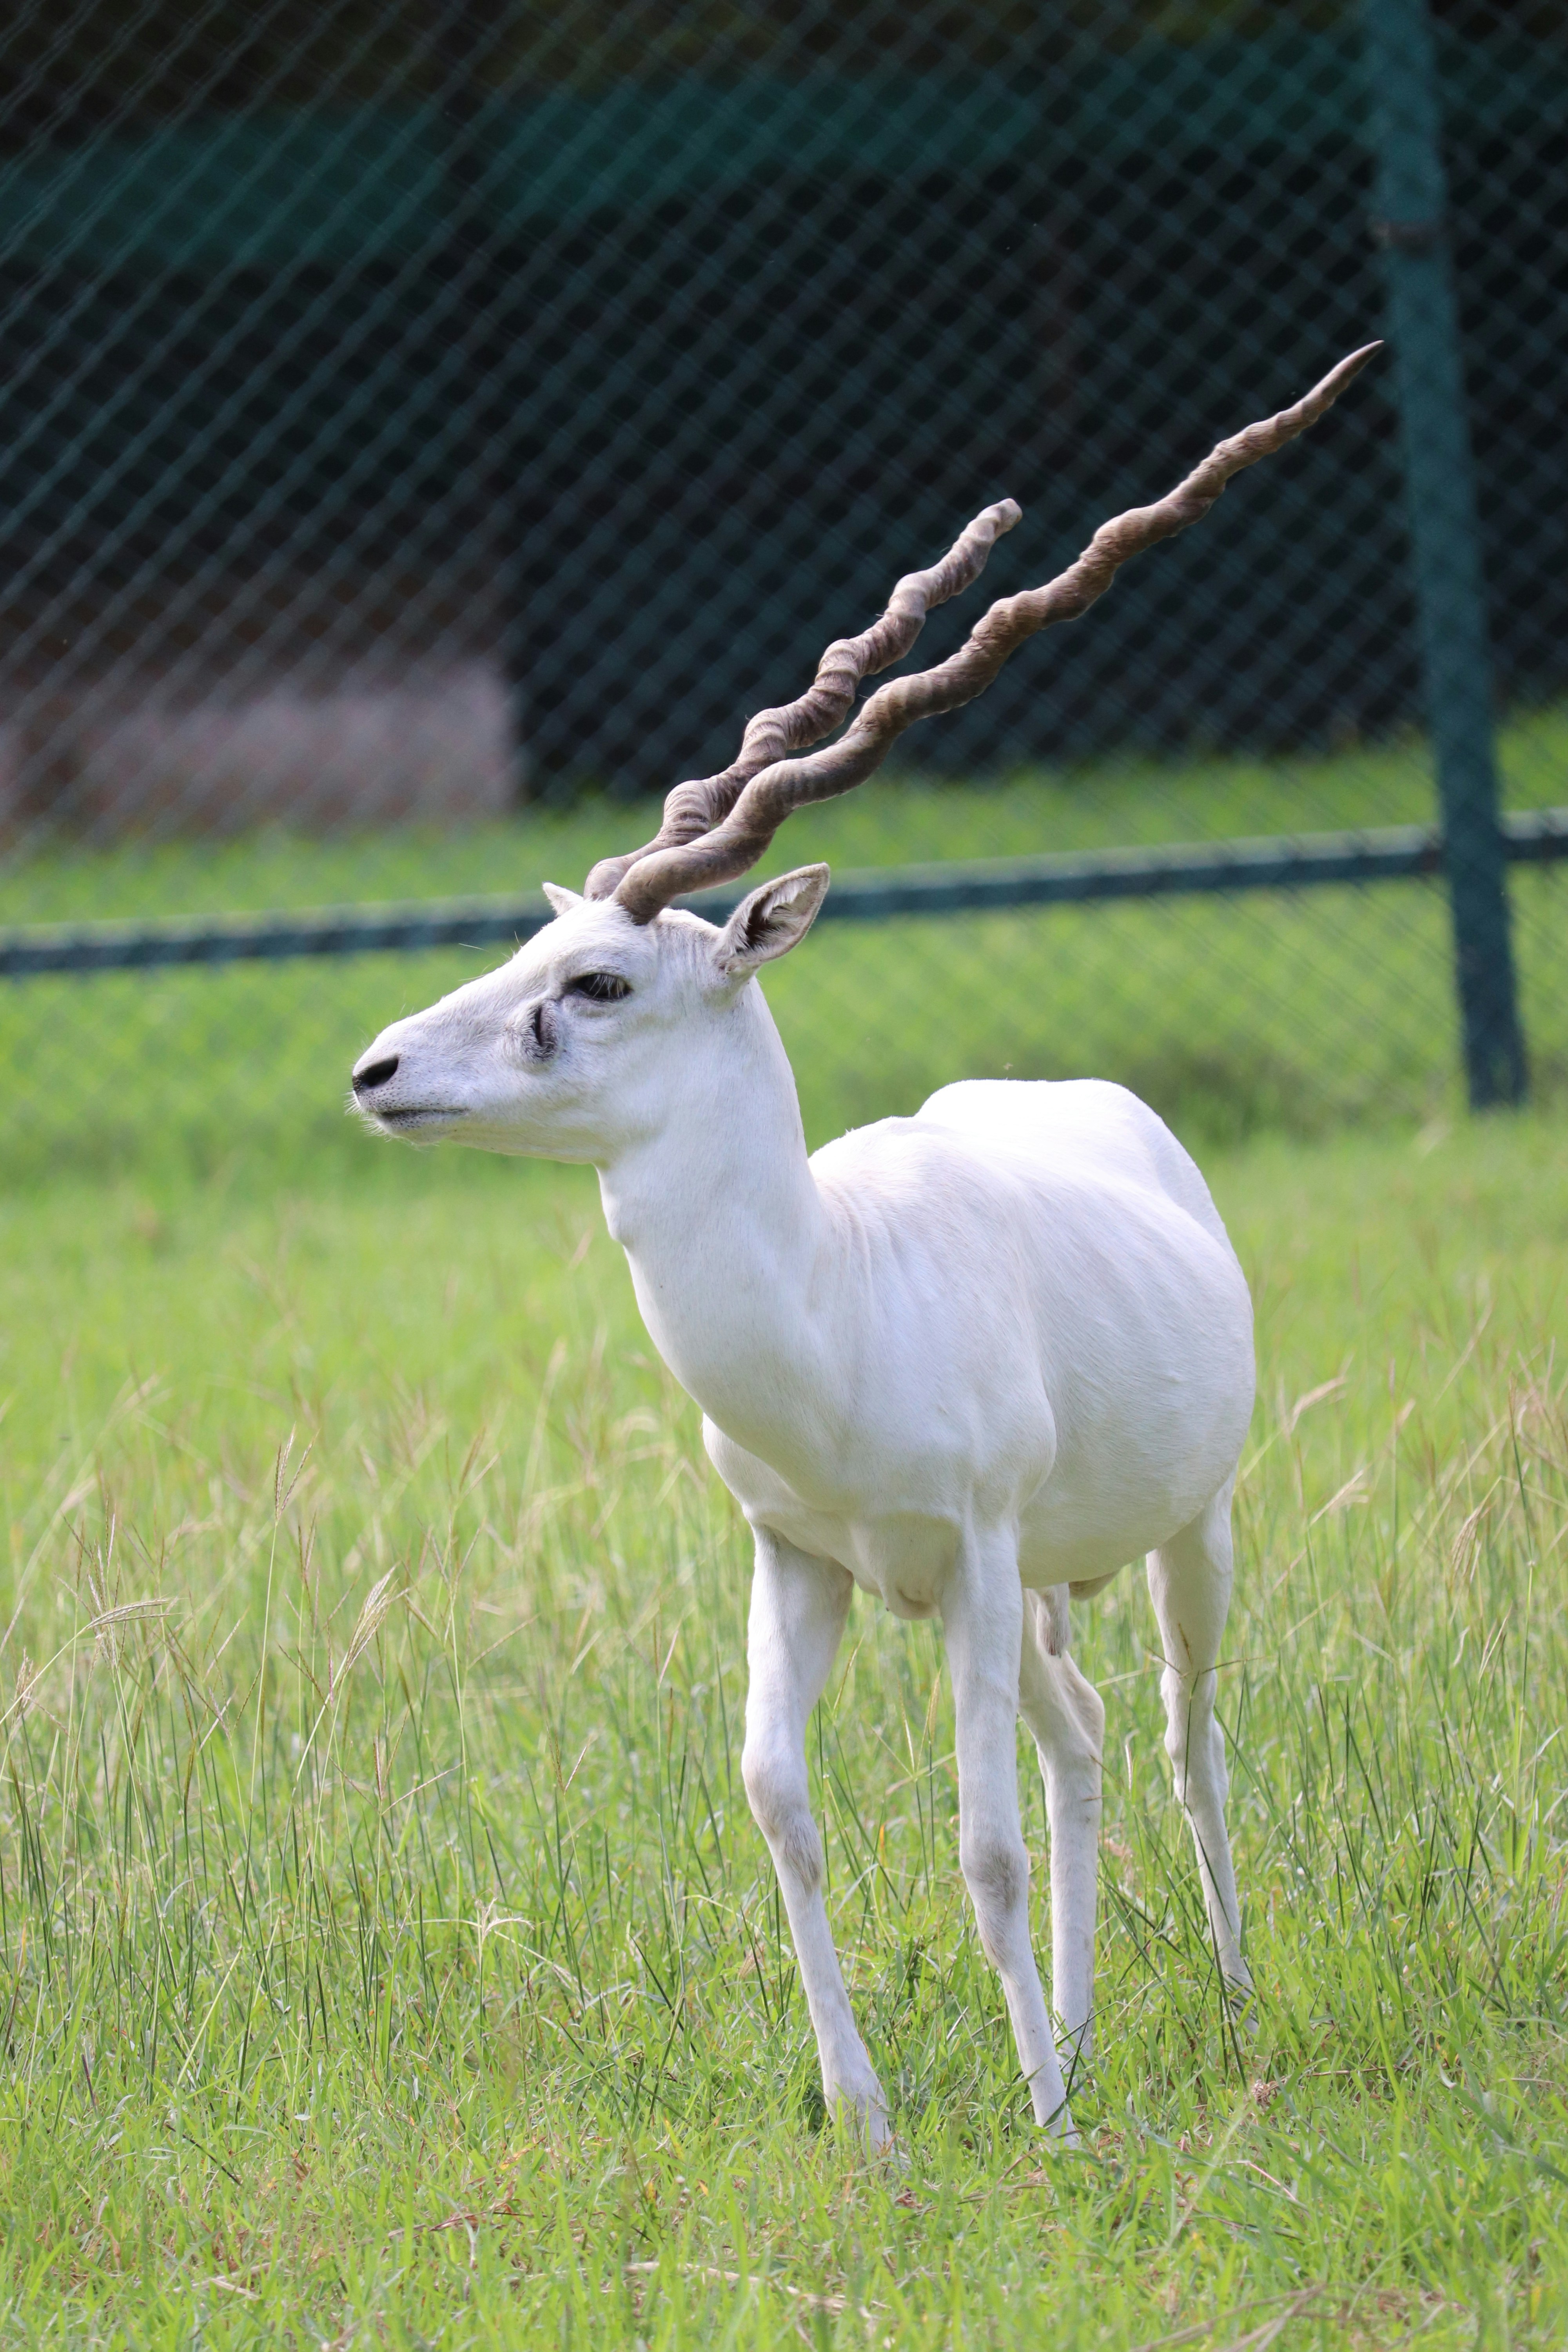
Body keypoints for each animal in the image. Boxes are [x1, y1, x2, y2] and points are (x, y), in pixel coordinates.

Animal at [352, 346, 1377, 2145]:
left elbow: (979, 1844)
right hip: (1024, 1589)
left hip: (1179, 1536)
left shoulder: (963, 1549)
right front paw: (871, 2120)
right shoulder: (804, 1557)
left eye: (598, 981)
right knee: (1083, 1735)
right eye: (532, 951)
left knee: (1179, 1735)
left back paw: (1227, 2000)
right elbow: (780, 1801)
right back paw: (1086, 2036)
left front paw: (1036, 2126)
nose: (378, 1070)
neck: (831, 1309)